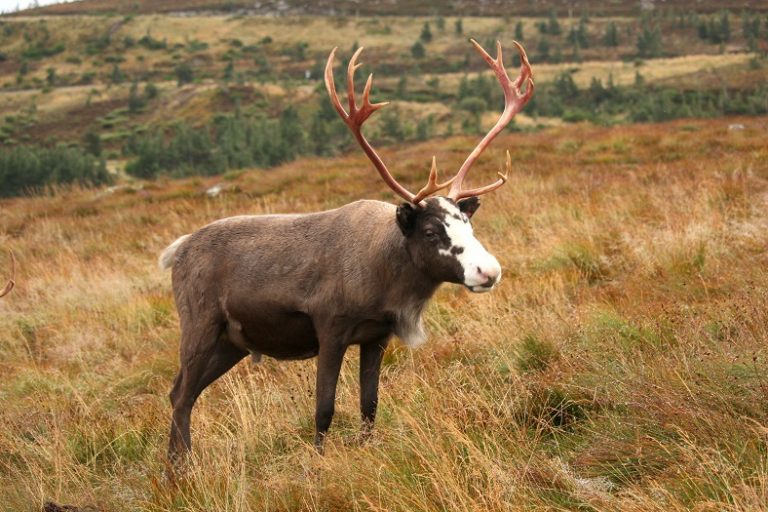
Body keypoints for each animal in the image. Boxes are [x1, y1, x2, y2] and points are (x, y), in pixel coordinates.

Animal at [159, 39, 534, 460]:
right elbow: (324, 407)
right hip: (199, 324)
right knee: (180, 393)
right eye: (431, 231)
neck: (384, 272)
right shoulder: (330, 329)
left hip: (232, 342)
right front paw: (319, 460)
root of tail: (178, 249)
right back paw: (178, 466)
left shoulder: (376, 336)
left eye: (466, 222)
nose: (489, 270)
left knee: (184, 394)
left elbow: (369, 403)